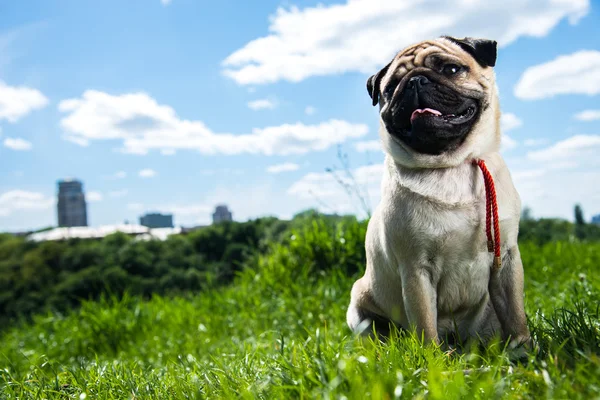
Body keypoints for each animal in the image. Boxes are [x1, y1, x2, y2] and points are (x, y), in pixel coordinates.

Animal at [346, 38, 528, 350]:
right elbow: (424, 324)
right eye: (390, 88)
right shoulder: (416, 270)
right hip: (359, 308)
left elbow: (515, 311)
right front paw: (432, 358)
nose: (415, 81)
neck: (451, 165)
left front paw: (524, 349)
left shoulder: (506, 256)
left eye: (451, 69)